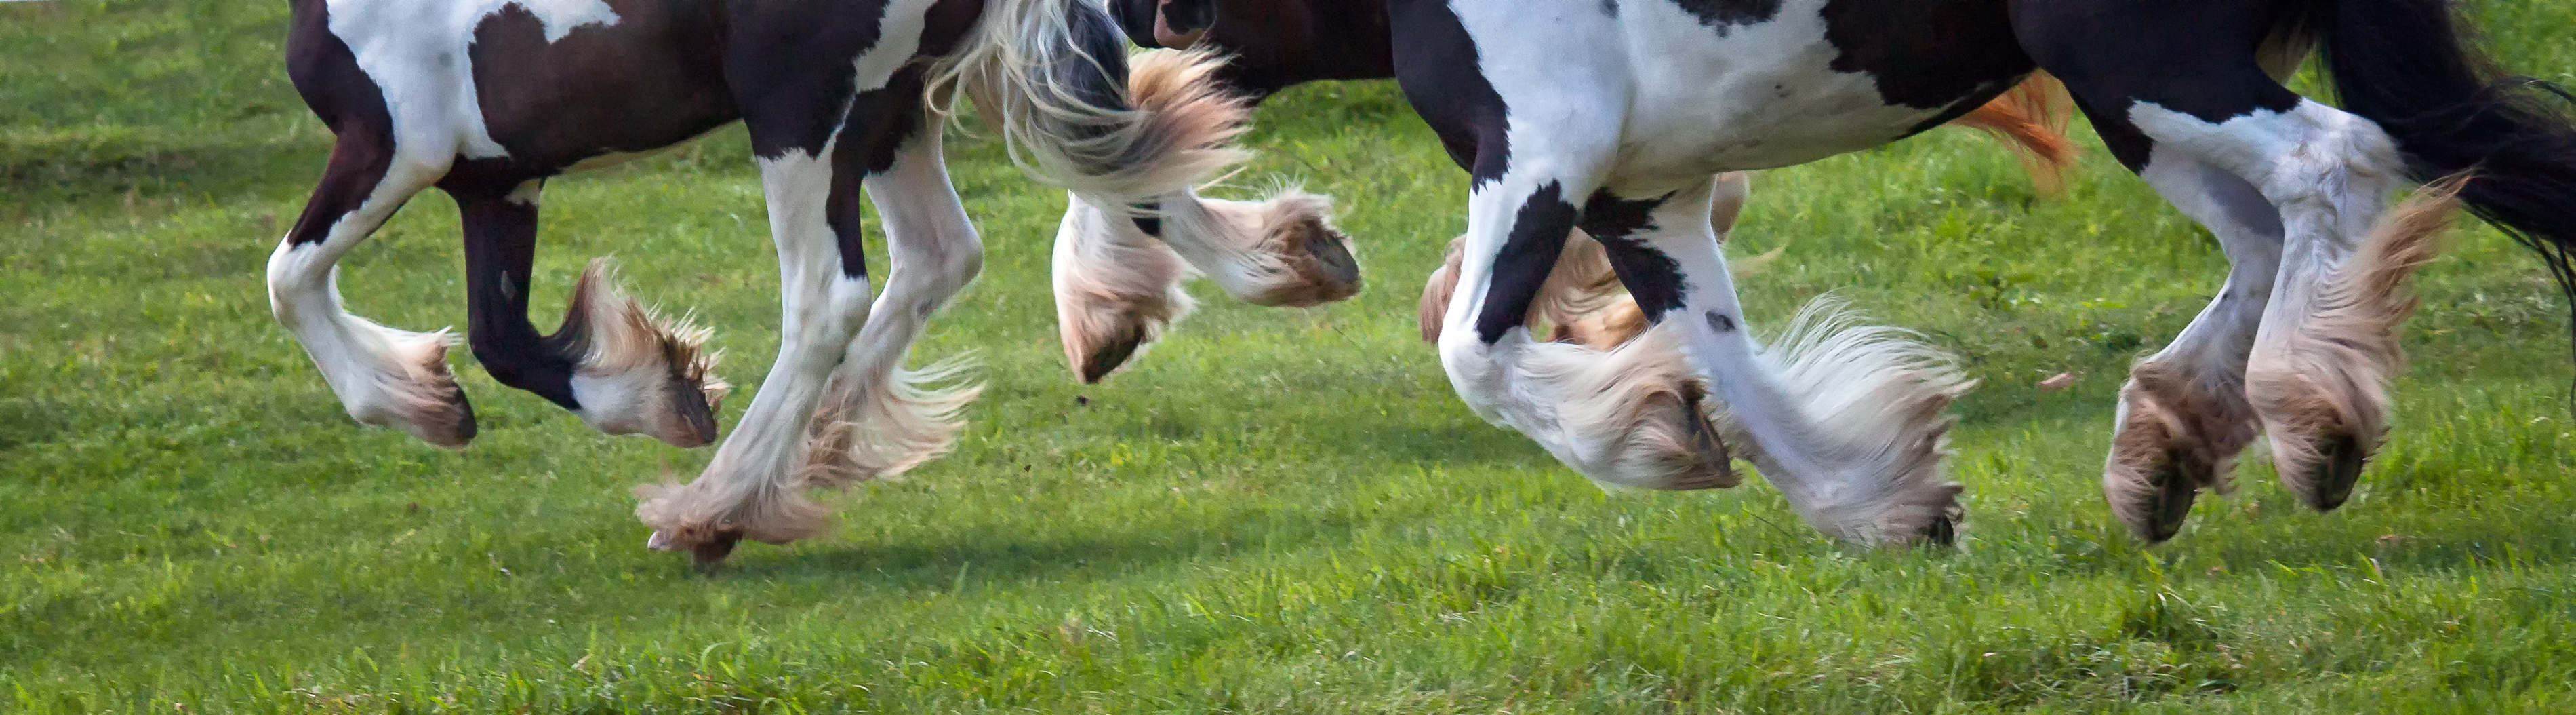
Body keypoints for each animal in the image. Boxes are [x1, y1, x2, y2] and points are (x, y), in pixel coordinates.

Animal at [276, 0, 1256, 564]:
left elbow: (288, 276)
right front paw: (659, 389)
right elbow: (500, 338)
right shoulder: (497, 179)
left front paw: (413, 399)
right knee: (952, 246)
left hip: (800, 107)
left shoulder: (396, 143)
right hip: (886, 107)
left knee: (829, 300)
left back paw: (709, 509)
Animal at [1348, 0, 2576, 545]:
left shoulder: (1542, 147)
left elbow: (1471, 351)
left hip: (2133, 53)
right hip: (2127, 92)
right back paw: (2164, 445)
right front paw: (1890, 500)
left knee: (2333, 160)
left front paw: (1656, 439)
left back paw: (2312, 423)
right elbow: (1729, 370)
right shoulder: (1643, 196)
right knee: (2261, 231)